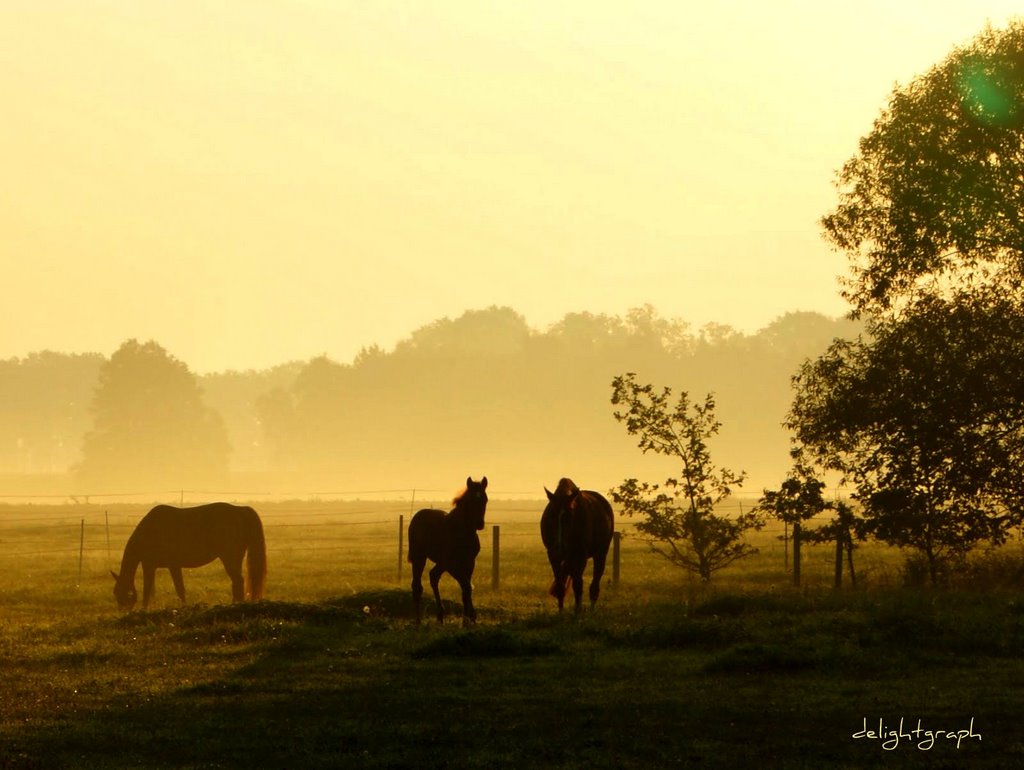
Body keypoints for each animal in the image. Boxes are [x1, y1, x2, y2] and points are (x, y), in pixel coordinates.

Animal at [111, 502, 267, 611]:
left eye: (122, 594)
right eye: (115, 593)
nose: (123, 611)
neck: (150, 531)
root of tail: (241, 510)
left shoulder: (162, 566)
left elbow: (157, 589)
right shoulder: (156, 566)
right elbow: (157, 590)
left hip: (229, 558)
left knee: (238, 581)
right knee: (237, 582)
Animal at [408, 476, 489, 624]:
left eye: (485, 499)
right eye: (470, 500)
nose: (480, 524)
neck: (462, 531)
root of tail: (417, 515)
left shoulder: (469, 562)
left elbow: (466, 588)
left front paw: (468, 619)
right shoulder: (452, 564)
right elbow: (466, 586)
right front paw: (469, 618)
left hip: (441, 562)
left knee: (433, 576)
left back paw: (440, 615)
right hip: (420, 557)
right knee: (417, 585)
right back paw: (418, 620)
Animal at [541, 478, 614, 613]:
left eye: (569, 516)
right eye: (551, 515)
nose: (559, 549)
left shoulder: (581, 556)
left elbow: (578, 585)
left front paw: (577, 612)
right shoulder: (553, 557)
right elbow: (560, 586)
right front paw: (560, 613)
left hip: (600, 554)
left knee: (594, 586)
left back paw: (591, 610)